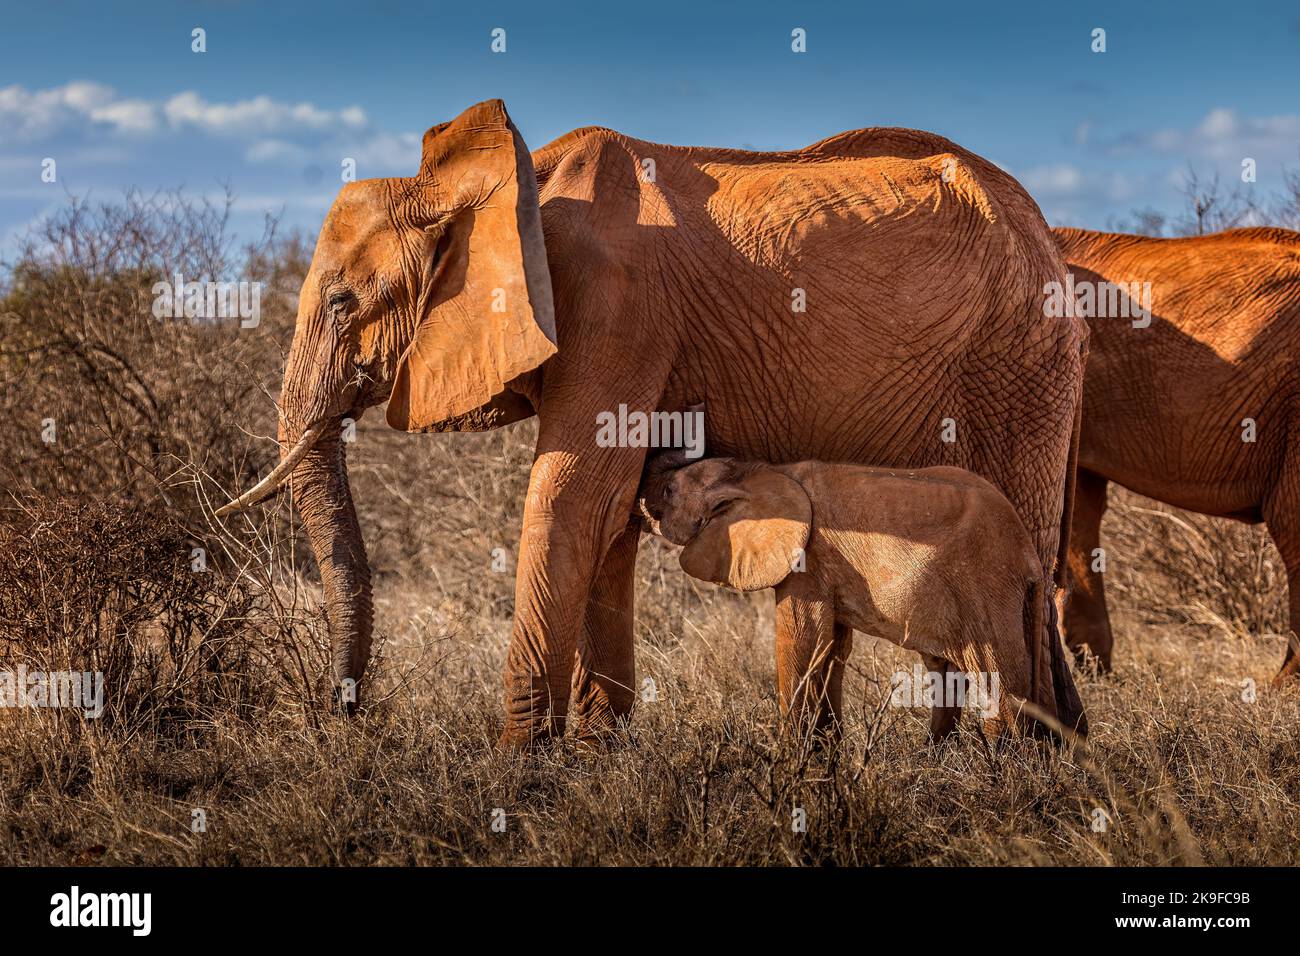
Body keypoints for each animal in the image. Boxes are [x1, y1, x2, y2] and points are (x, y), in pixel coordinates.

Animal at [637, 452, 1053, 741]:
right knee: (953, 674)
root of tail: (1029, 556)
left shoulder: (808, 558)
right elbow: (832, 649)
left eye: (670, 491)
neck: (761, 471)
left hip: (986, 589)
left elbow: (801, 643)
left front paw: (791, 761)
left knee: (998, 681)